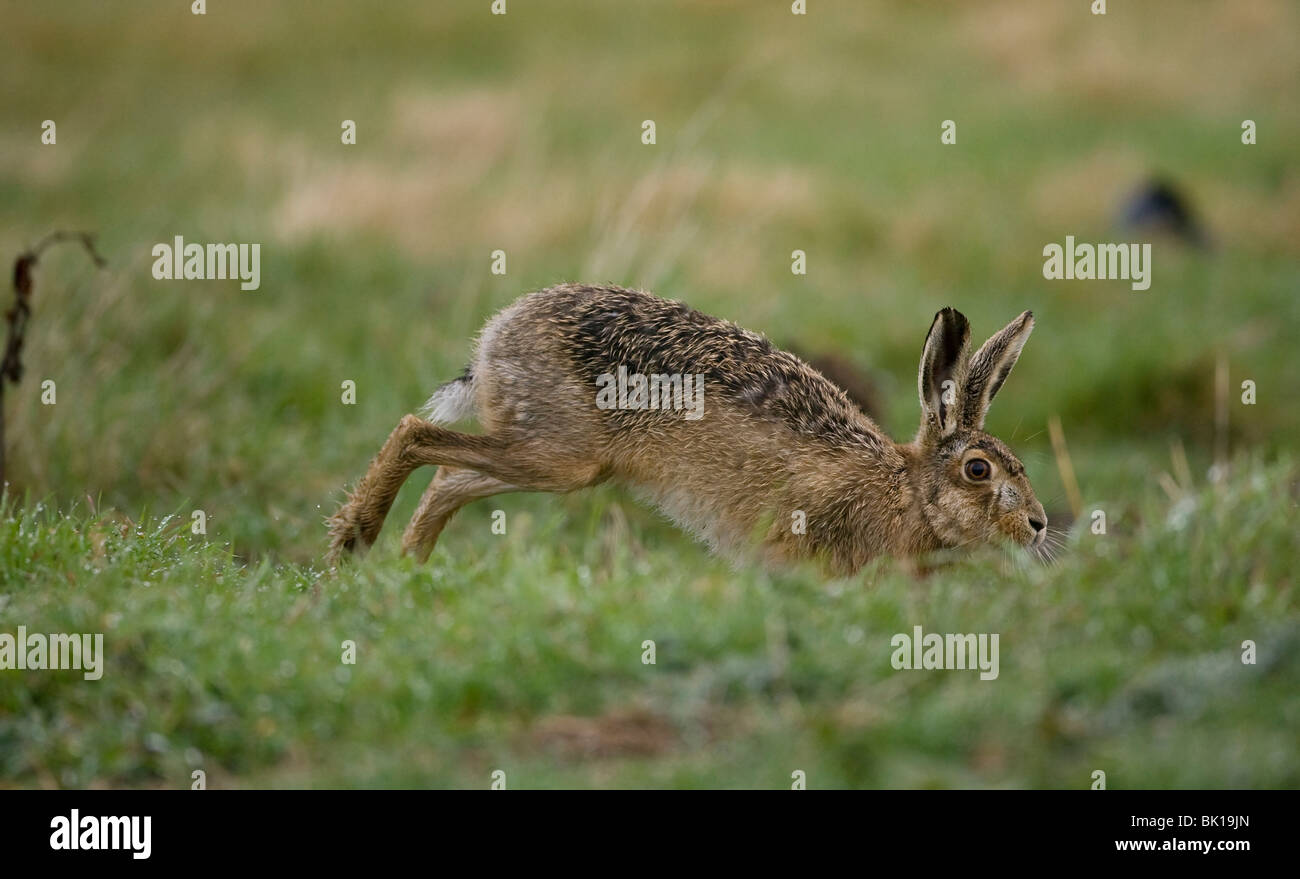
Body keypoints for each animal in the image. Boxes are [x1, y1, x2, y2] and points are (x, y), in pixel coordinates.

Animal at [326, 283, 1046, 574]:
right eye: (978, 469)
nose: (1039, 525)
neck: (905, 491)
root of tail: (493, 341)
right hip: (558, 453)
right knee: (416, 433)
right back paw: (353, 539)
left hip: (543, 456)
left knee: (449, 478)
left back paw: (406, 572)